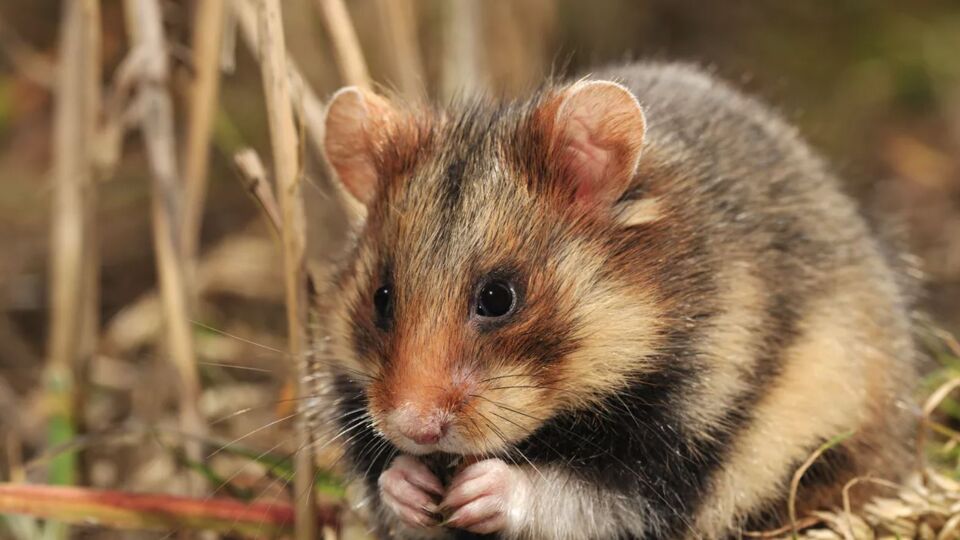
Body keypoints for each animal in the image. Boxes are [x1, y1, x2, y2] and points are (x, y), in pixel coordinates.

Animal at [309, 62, 921, 539]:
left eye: (499, 298)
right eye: (381, 298)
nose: (410, 426)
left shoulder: (675, 447)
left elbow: (579, 495)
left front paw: (478, 490)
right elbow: (384, 484)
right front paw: (410, 484)